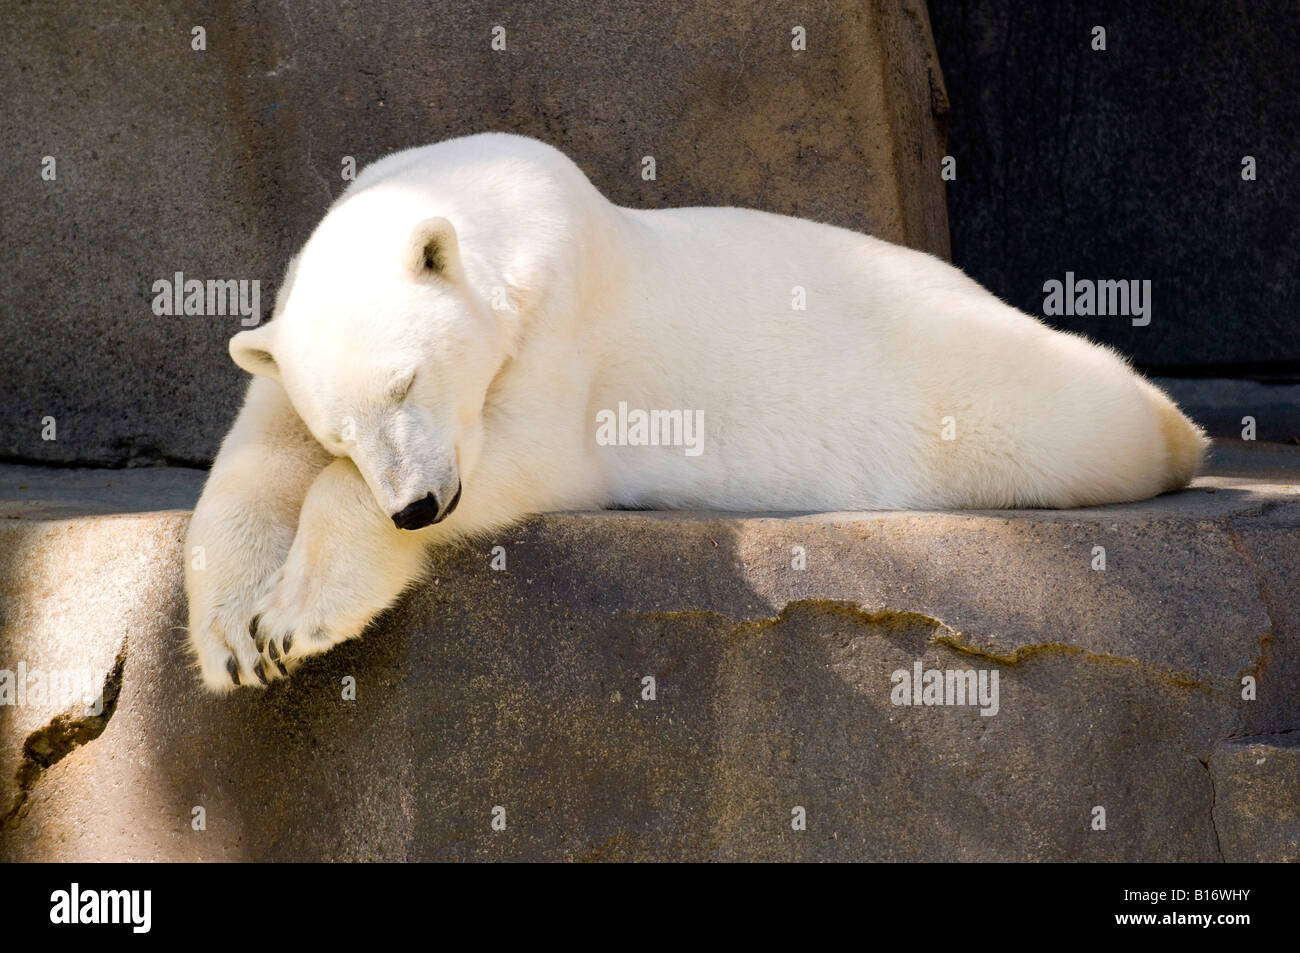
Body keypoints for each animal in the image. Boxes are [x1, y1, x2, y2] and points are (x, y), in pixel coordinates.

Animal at [184, 132, 1207, 691]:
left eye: (406, 382)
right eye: (342, 427)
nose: (416, 506)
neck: (480, 193)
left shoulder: (565, 323)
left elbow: (533, 454)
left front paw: (296, 616)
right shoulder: (288, 354)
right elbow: (257, 461)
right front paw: (237, 639)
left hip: (971, 393)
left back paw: (1179, 427)